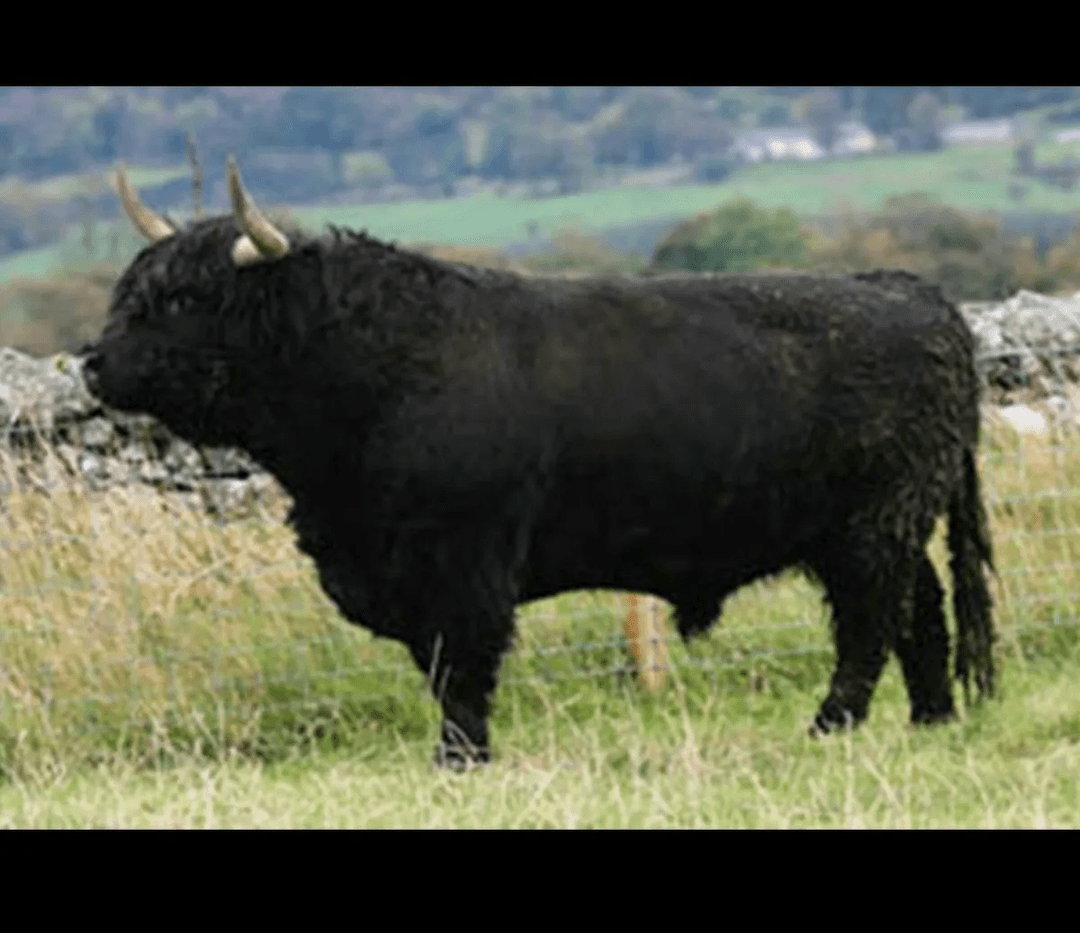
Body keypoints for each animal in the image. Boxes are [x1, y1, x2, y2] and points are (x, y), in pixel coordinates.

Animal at [80, 157, 997, 768]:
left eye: (185, 299)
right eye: (128, 291)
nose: (93, 363)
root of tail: (907, 288)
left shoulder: (466, 558)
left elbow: (462, 662)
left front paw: (461, 756)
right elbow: (437, 665)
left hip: (874, 524)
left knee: (872, 619)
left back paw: (834, 723)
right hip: (877, 527)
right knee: (922, 607)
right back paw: (933, 716)